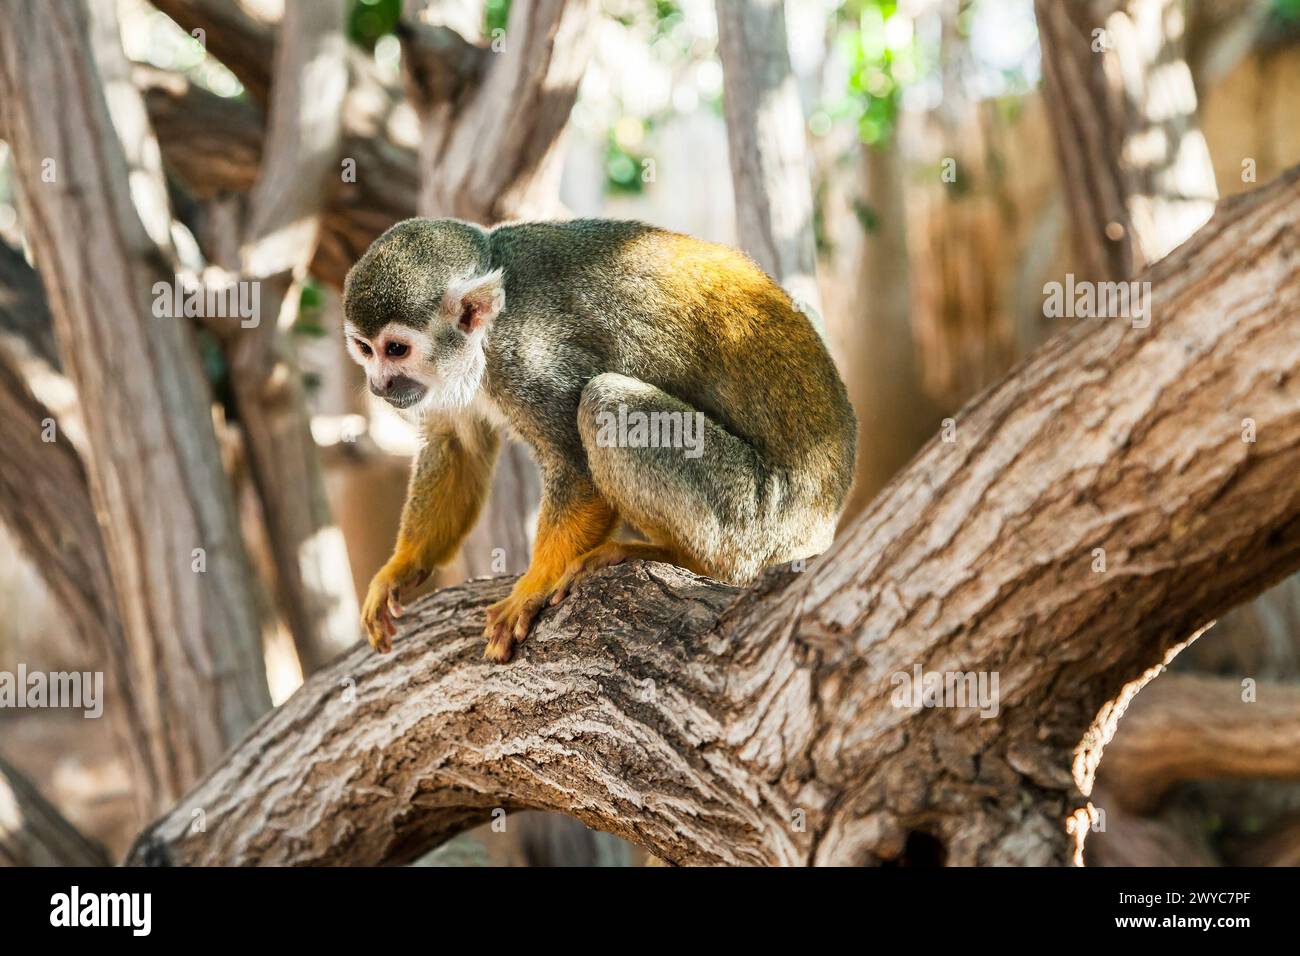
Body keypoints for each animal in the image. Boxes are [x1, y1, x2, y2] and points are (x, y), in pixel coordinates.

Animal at [343, 217, 857, 663]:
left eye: (396, 349)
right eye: (365, 349)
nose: (380, 386)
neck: (488, 336)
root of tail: (823, 515)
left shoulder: (533, 359)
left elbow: (577, 465)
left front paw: (533, 586)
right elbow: (456, 445)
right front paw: (401, 566)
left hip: (758, 516)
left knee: (604, 402)